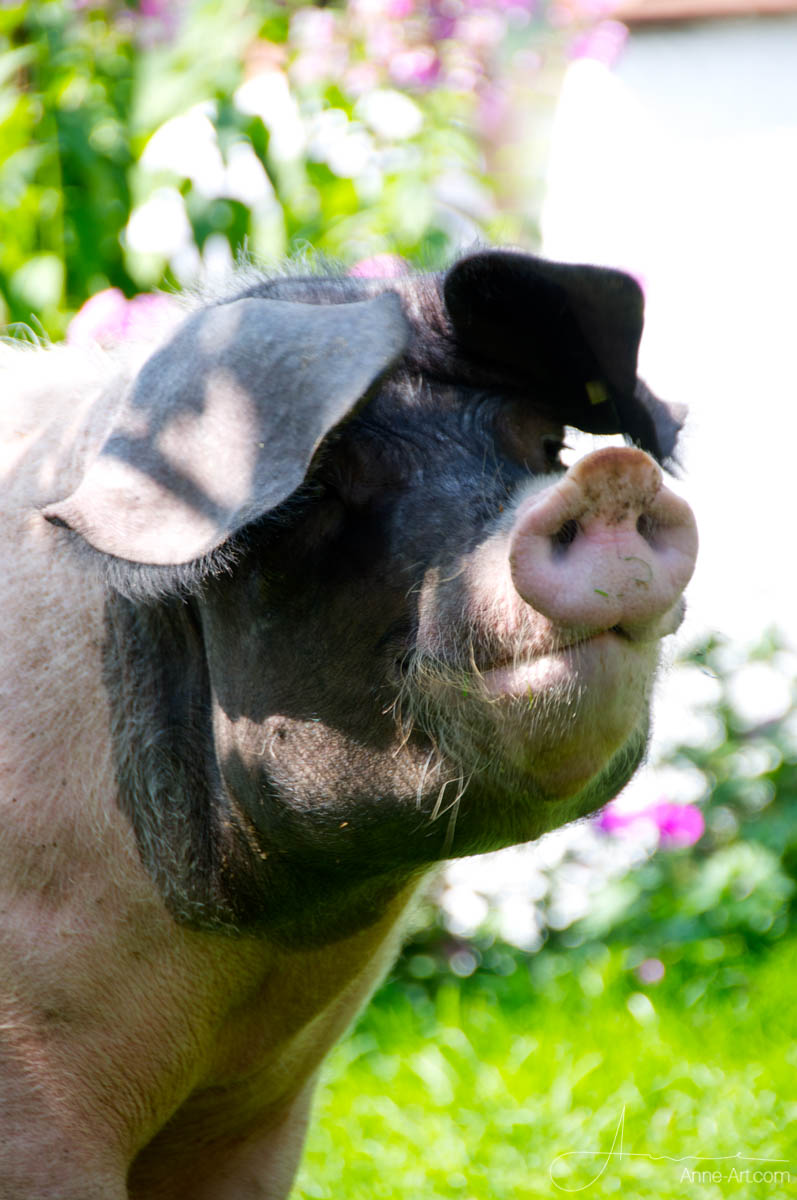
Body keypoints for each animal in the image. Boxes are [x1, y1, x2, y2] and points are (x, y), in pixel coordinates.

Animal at [0, 250, 697, 1199]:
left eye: (545, 448)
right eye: (314, 490)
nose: (609, 478)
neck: (268, 953)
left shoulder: (259, 1118)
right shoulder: (36, 1093)